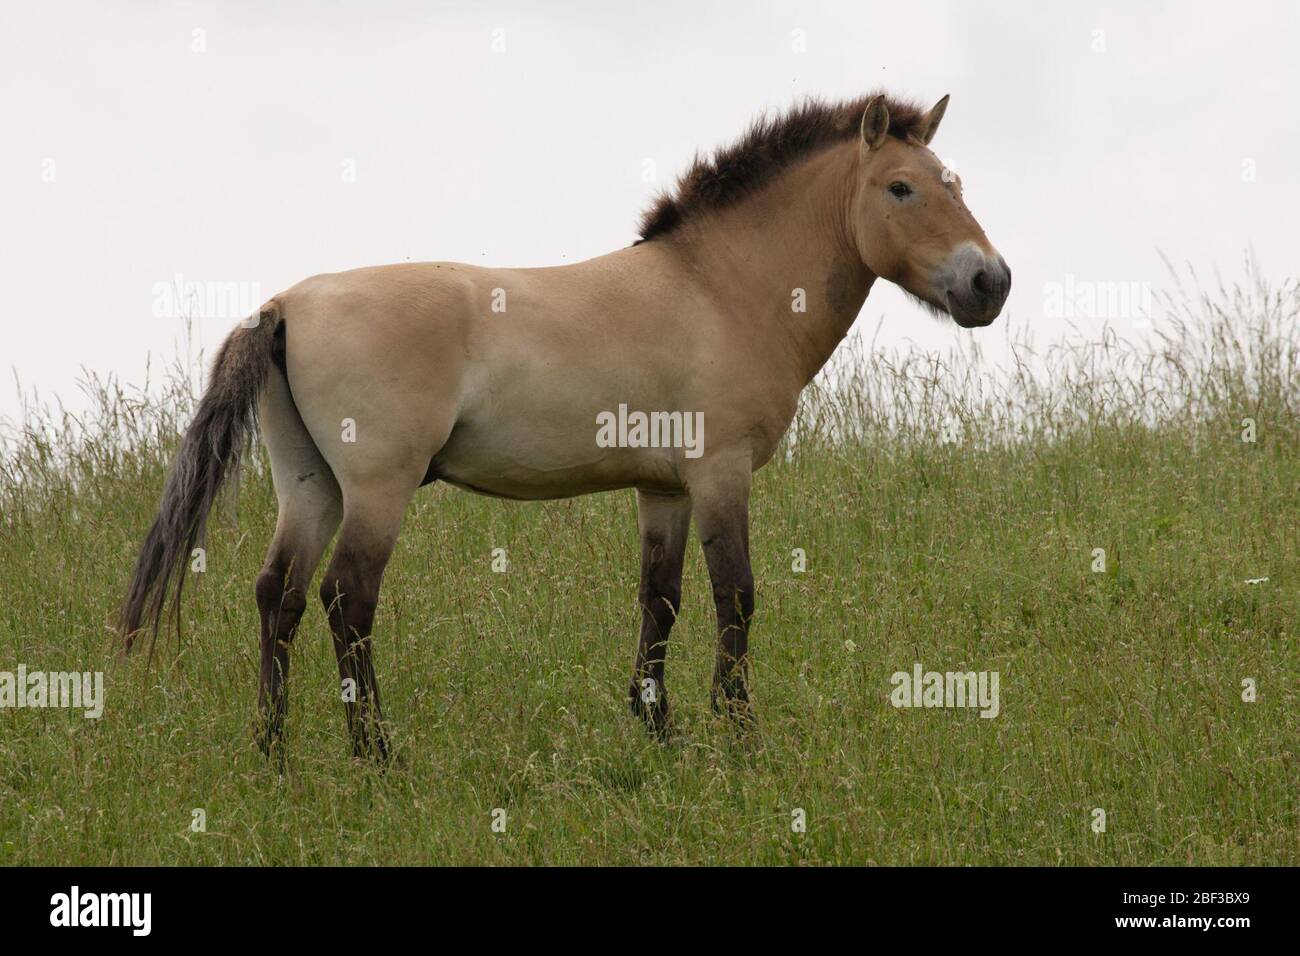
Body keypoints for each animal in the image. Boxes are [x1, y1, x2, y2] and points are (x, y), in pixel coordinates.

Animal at [120, 92, 1010, 758]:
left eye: (956, 180)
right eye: (901, 188)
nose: (989, 282)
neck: (718, 289)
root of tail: (284, 306)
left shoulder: (664, 489)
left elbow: (661, 601)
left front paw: (659, 728)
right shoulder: (719, 474)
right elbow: (737, 597)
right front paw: (738, 734)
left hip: (310, 486)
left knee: (280, 595)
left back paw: (271, 749)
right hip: (377, 488)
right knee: (347, 598)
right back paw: (376, 752)